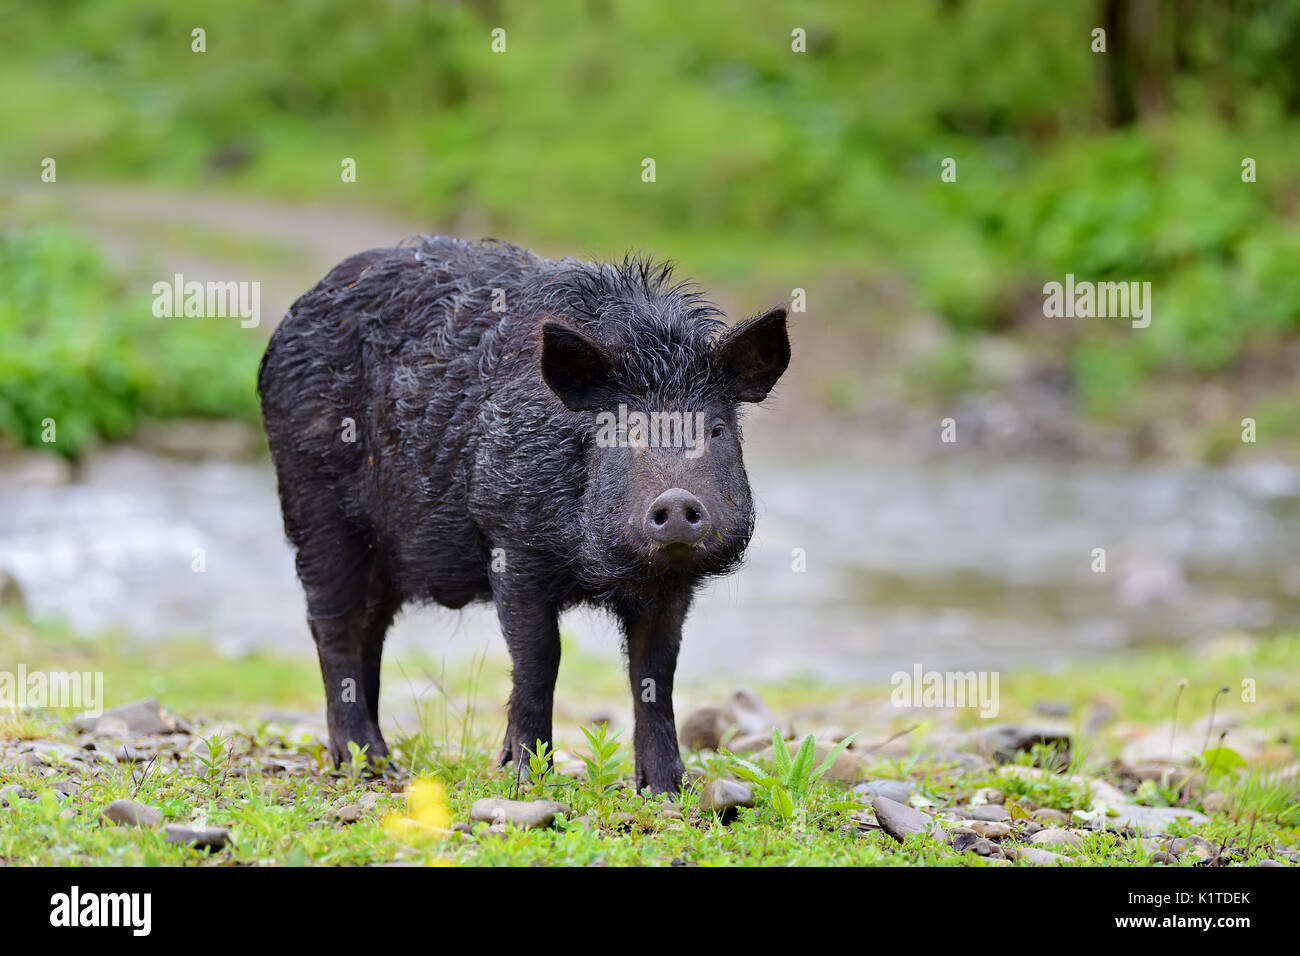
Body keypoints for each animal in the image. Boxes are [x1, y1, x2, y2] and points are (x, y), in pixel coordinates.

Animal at [257, 237, 789, 794]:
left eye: (716, 430)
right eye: (618, 429)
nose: (678, 501)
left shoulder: (673, 586)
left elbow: (656, 673)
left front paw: (668, 789)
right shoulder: (511, 543)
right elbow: (539, 659)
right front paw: (525, 780)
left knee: (370, 631)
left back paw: (380, 763)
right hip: (314, 506)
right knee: (332, 625)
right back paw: (366, 765)